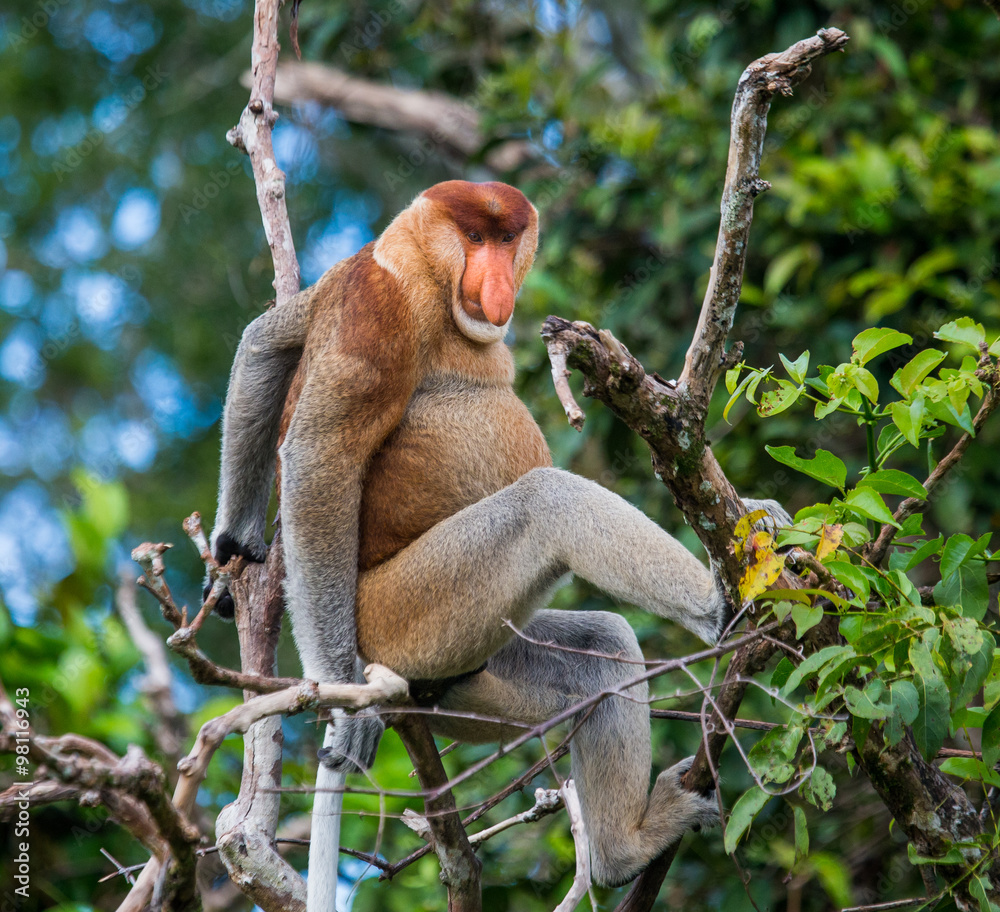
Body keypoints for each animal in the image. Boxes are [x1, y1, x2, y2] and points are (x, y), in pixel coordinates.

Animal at [210, 180, 786, 887]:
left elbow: (265, 340)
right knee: (546, 503)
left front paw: (233, 546)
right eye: (476, 239)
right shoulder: (380, 303)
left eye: (508, 239)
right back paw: (725, 606)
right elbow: (322, 457)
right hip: (405, 611)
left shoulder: (343, 277)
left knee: (605, 648)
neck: (424, 268)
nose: (499, 279)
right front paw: (346, 711)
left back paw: (622, 850)